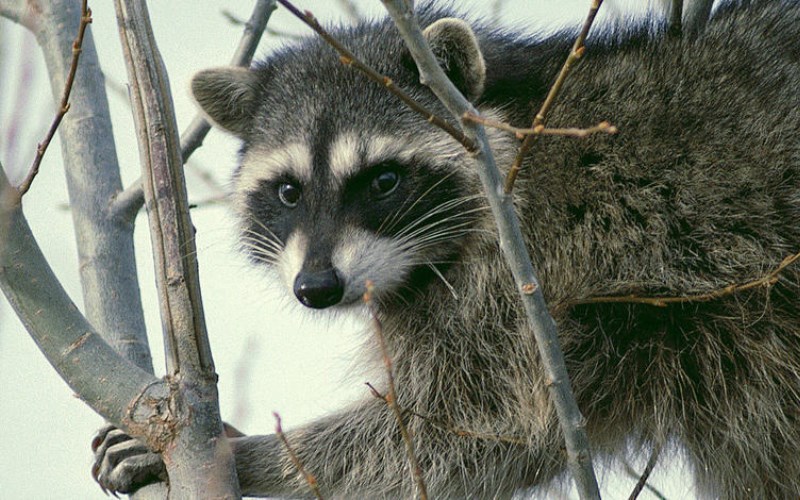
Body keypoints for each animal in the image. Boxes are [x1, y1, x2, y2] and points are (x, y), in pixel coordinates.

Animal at [94, 1, 800, 498]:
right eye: (289, 192)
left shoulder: (540, 273)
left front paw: (255, 455)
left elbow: (482, 426)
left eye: (382, 180)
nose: (316, 288)